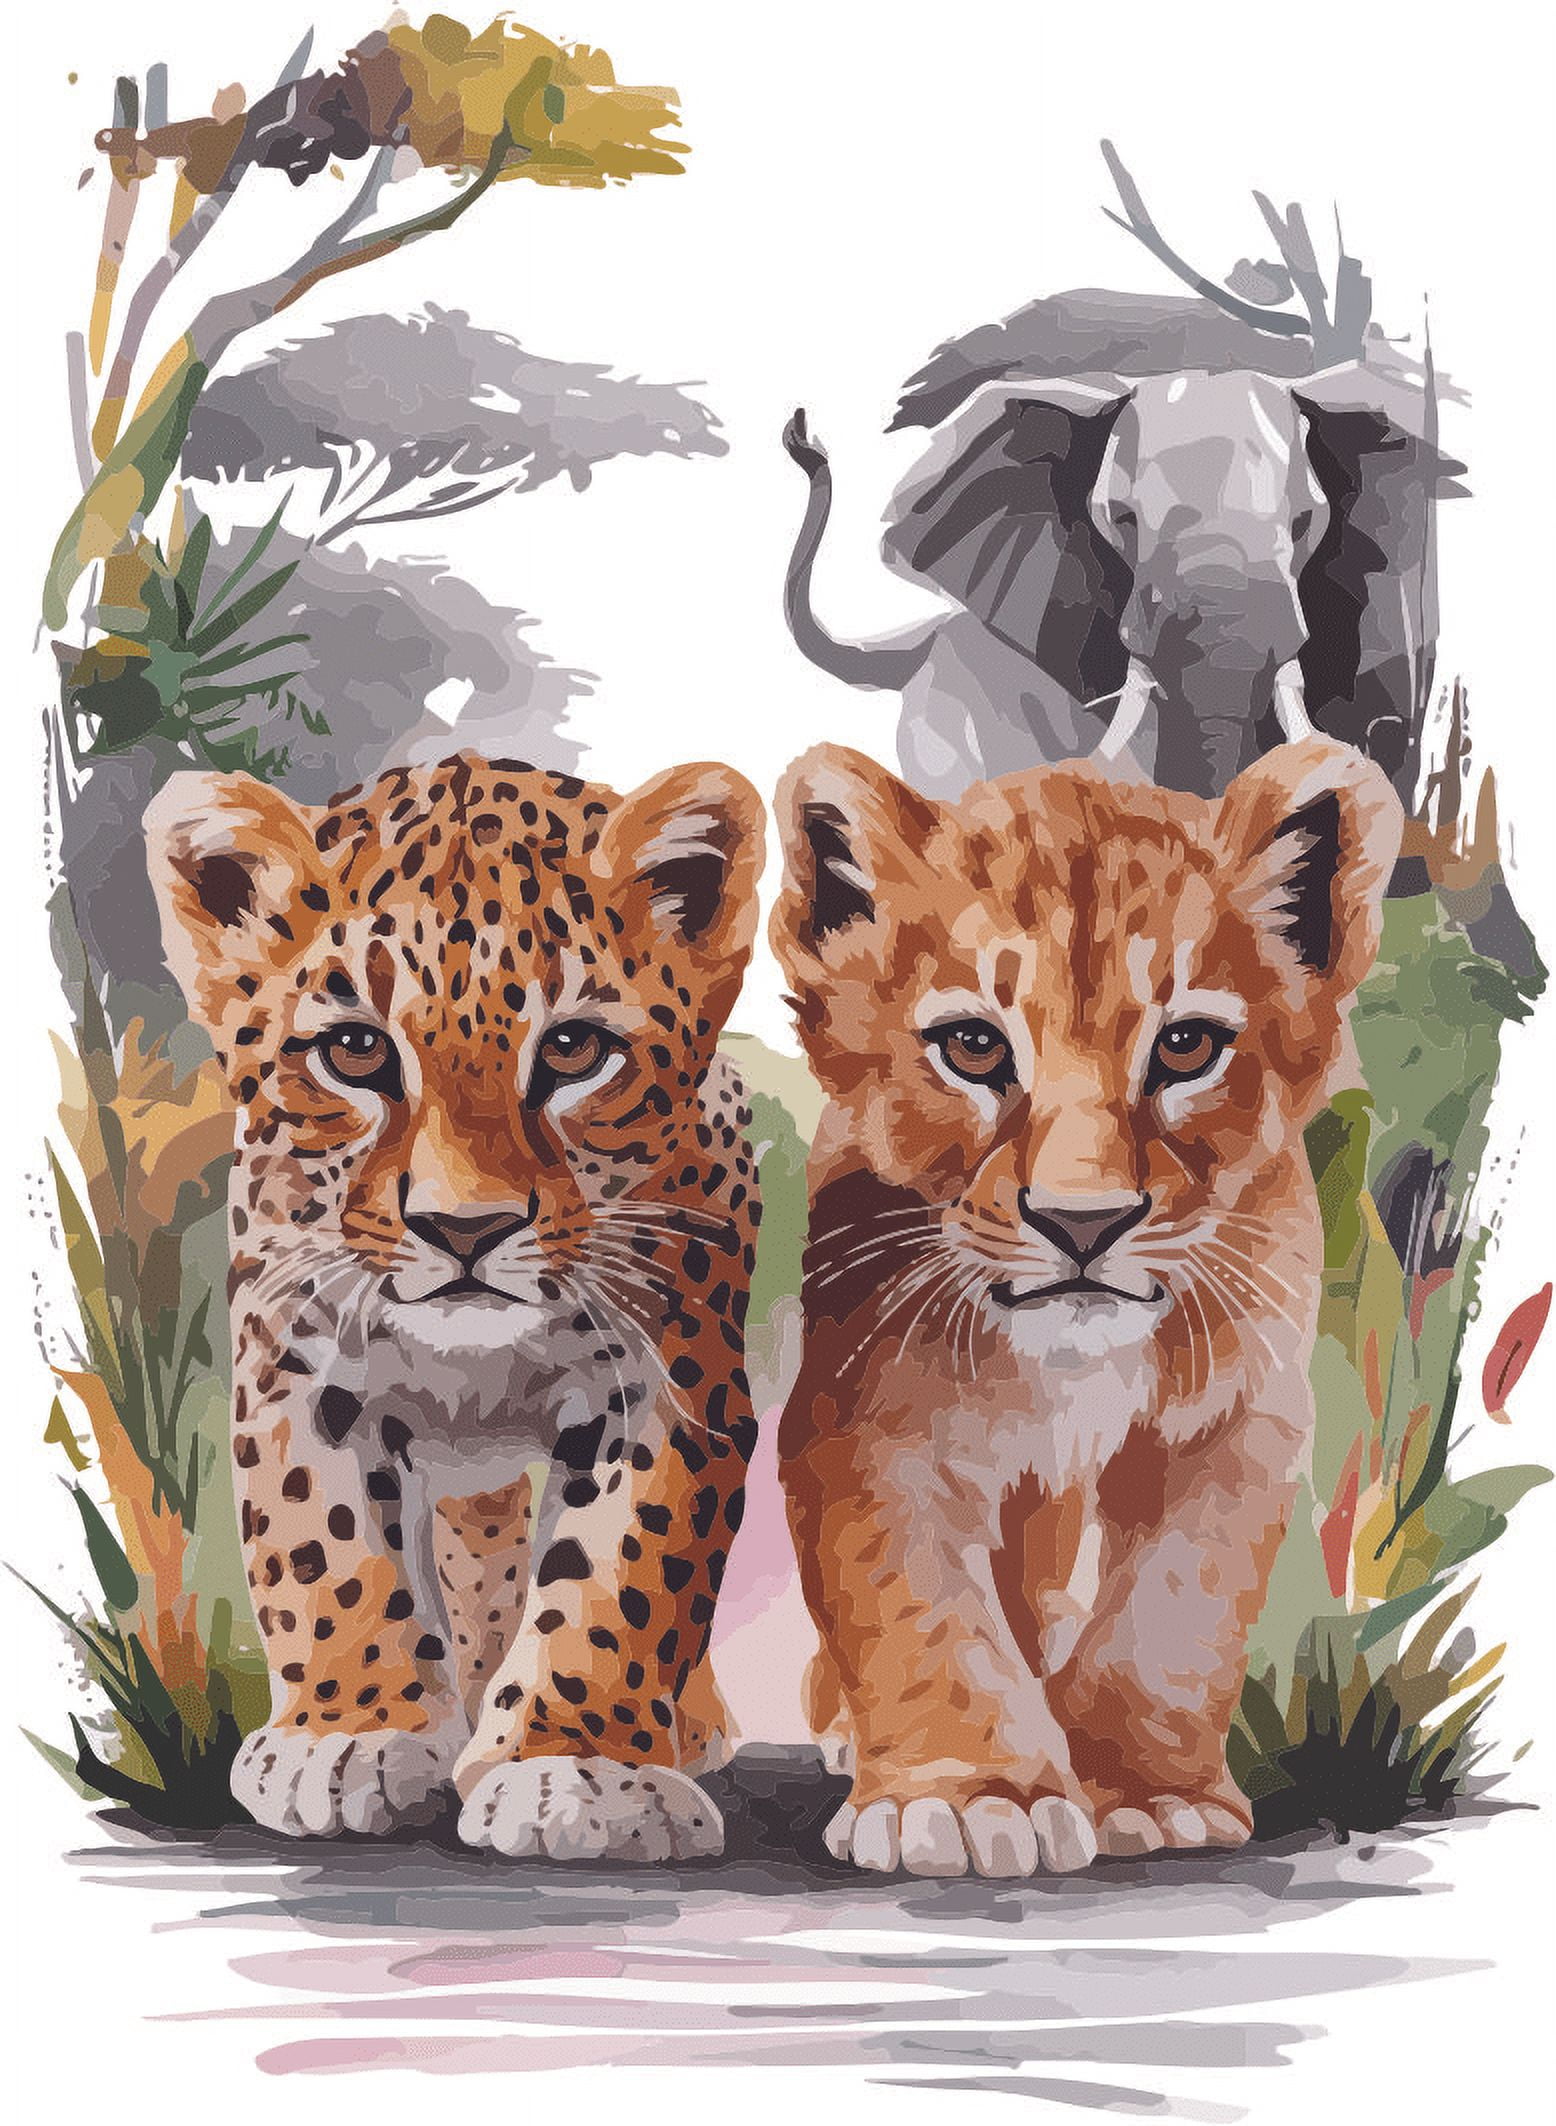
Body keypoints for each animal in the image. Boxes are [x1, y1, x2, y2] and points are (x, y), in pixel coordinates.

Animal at [146, 750, 765, 1860]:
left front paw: (576, 1763)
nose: (464, 1229)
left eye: (573, 1050)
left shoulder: (672, 1375)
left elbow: (620, 1569)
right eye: (353, 1050)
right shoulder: (295, 1355)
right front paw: (351, 1734)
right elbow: (326, 1543)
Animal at [769, 735, 1401, 1879]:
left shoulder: (1234, 1421)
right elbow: (920, 1609)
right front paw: (969, 1799)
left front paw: (1144, 1796)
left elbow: (1173, 1615)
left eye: (1187, 1045)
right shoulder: (869, 1414)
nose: (1083, 1221)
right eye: (972, 1046)